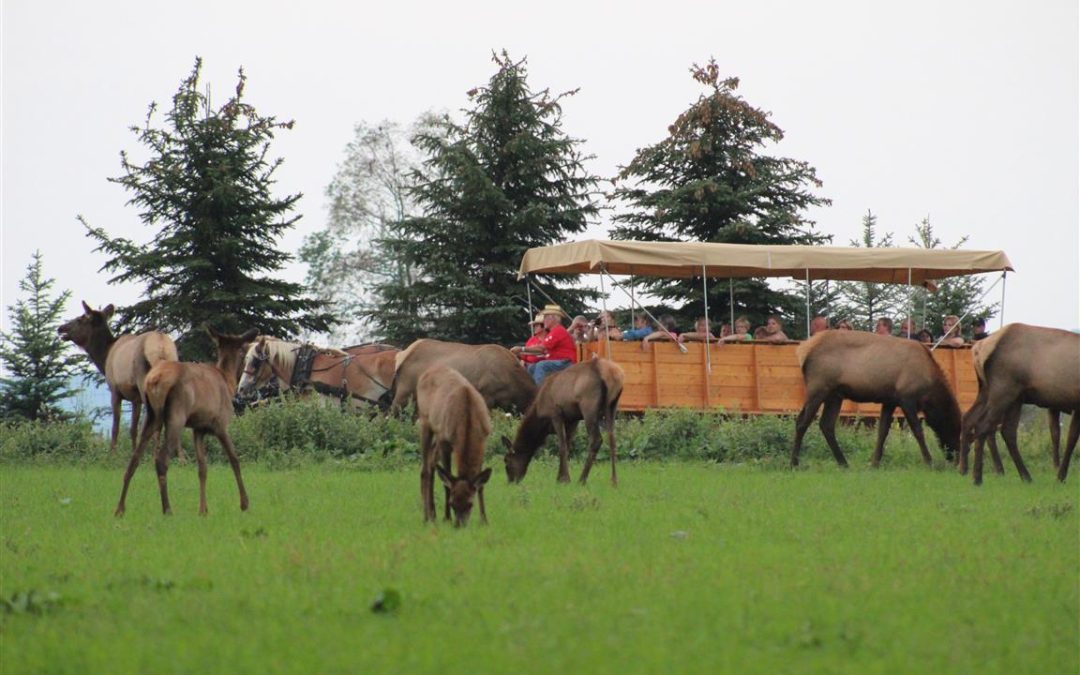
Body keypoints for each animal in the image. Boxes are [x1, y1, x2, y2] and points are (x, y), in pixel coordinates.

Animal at [57, 301, 179, 456]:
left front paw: (112, 453)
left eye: (80, 319)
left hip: (144, 382)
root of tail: (161, 347)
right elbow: (133, 428)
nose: (60, 328)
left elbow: (117, 427)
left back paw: (155, 453)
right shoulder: (135, 398)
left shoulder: (116, 391)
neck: (104, 357)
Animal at [114, 326, 258, 517]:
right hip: (176, 415)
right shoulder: (220, 424)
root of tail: (154, 381)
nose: (246, 381)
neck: (228, 381)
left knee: (134, 458)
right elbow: (234, 459)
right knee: (161, 460)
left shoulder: (198, 429)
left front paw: (203, 510)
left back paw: (120, 509)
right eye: (244, 351)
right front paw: (244, 503)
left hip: (151, 416)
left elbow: (202, 468)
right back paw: (167, 509)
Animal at [416, 365, 493, 527]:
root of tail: (428, 370)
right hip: (425, 421)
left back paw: (433, 514)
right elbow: (447, 482)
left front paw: (484, 519)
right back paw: (427, 516)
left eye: (470, 504)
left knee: (431, 463)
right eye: (452, 504)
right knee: (425, 469)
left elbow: (481, 485)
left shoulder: (484, 440)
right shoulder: (445, 441)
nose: (459, 525)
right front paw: (446, 517)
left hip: (436, 434)